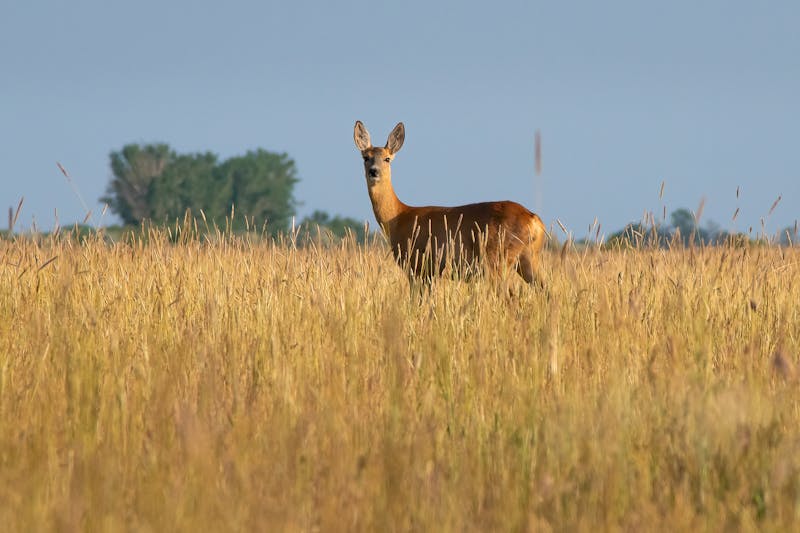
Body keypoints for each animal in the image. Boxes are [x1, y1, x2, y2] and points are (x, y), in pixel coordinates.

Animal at [354, 120, 547, 289]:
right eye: (365, 157)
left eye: (387, 158)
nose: (374, 171)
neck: (398, 217)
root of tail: (534, 220)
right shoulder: (428, 272)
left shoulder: (417, 267)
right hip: (528, 259)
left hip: (496, 260)